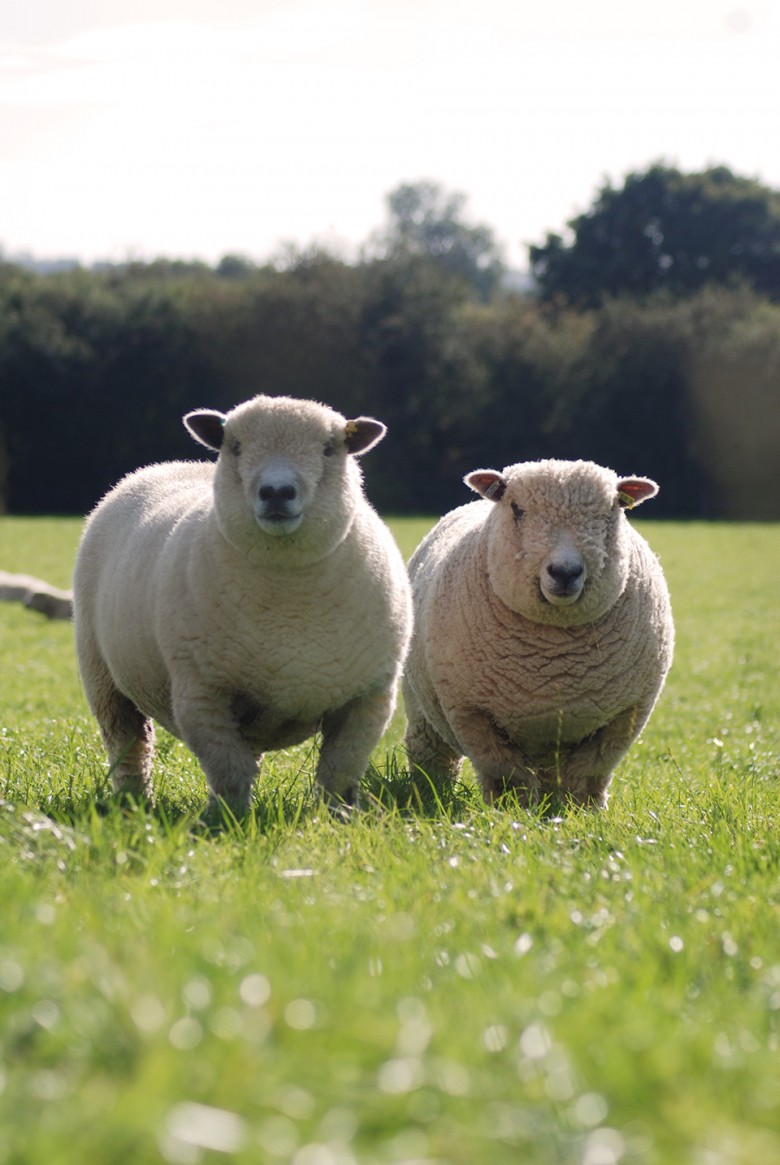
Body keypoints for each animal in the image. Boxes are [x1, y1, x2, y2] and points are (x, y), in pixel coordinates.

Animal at [73, 394, 412, 815]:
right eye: (234, 446)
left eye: (329, 449)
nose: (277, 492)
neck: (290, 595)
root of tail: (165, 466)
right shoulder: (202, 693)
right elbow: (228, 771)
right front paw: (227, 819)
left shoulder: (369, 697)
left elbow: (340, 771)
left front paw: (339, 816)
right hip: (102, 675)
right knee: (128, 744)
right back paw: (134, 804)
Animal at [403, 459, 674, 809]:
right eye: (517, 509)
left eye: (611, 512)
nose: (565, 572)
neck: (552, 665)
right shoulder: (470, 712)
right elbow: (506, 774)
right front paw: (510, 811)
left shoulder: (626, 715)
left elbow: (589, 773)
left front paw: (584, 812)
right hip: (419, 704)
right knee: (431, 754)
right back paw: (428, 791)